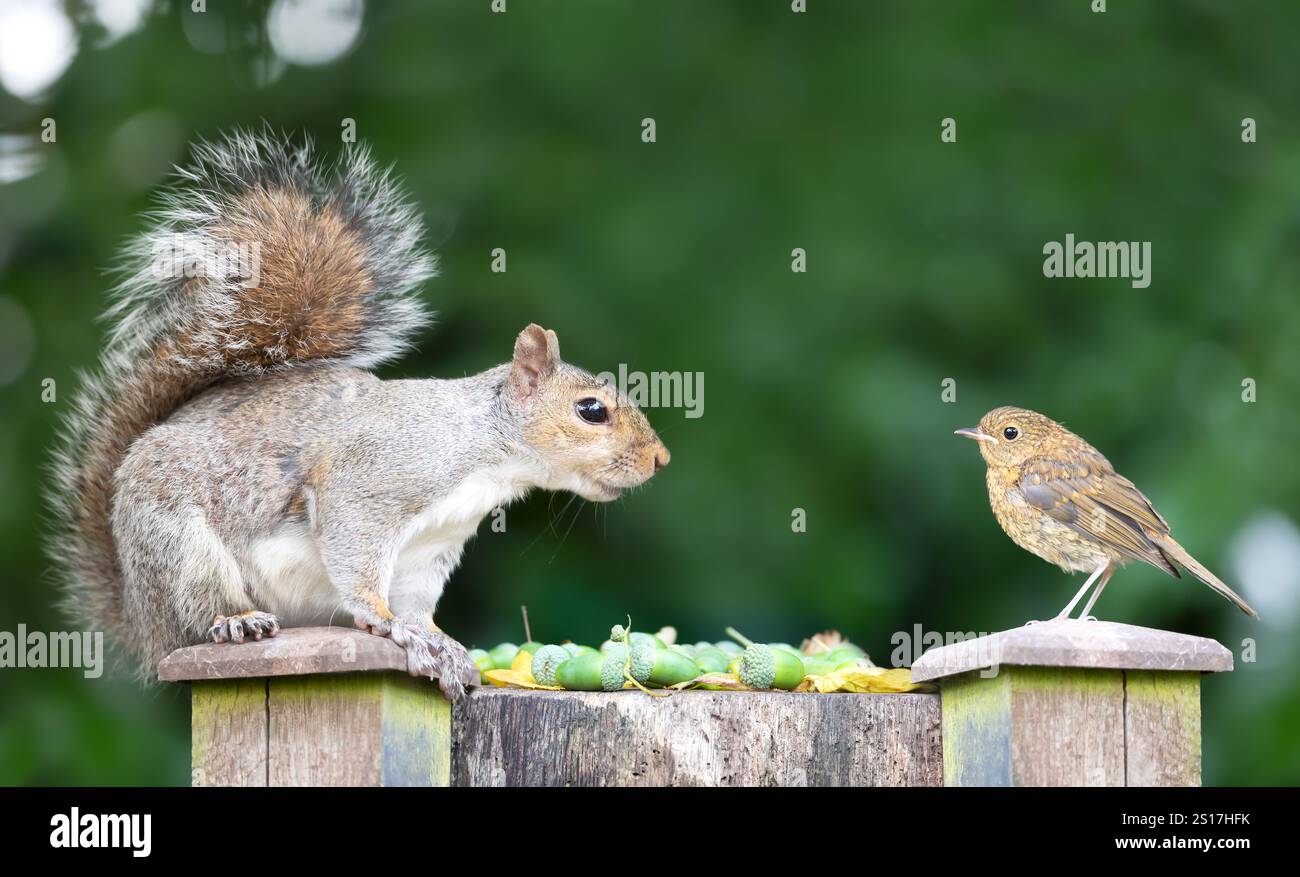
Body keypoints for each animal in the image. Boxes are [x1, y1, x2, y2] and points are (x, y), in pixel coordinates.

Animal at [49, 130, 670, 700]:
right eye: (591, 410)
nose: (660, 459)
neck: (484, 453)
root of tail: (139, 617)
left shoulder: (433, 547)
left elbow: (417, 600)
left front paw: (434, 637)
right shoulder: (368, 483)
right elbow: (358, 558)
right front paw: (384, 620)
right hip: (174, 535)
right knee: (197, 605)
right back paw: (234, 619)